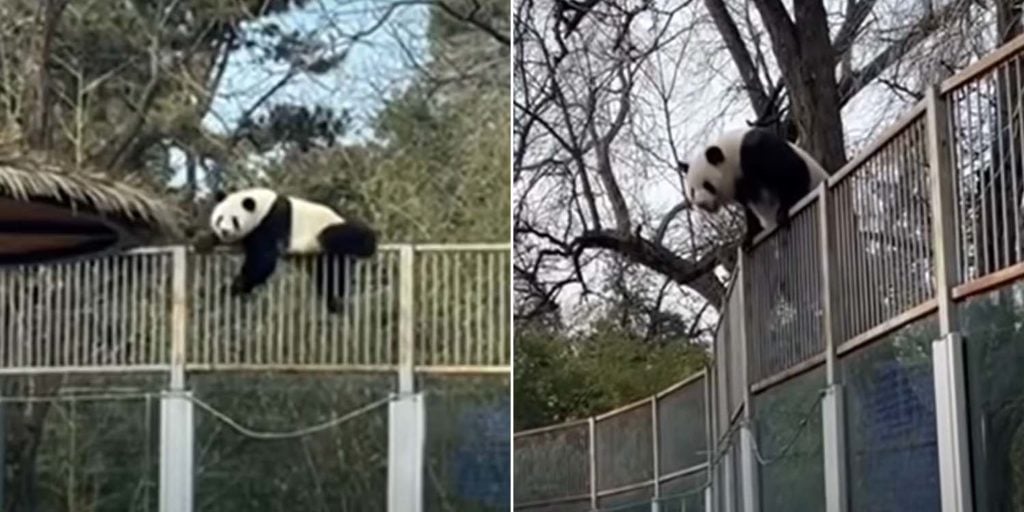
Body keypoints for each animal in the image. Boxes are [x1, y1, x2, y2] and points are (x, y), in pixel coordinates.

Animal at [207, 187, 377, 312]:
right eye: (220, 218)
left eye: (234, 220)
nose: (224, 231)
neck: (265, 205)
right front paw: (207, 239)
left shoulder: (272, 222)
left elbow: (263, 261)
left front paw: (234, 287)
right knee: (329, 277)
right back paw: (335, 302)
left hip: (330, 230)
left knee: (348, 239)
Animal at [681, 127, 829, 249]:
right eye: (692, 191)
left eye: (707, 185)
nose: (702, 203)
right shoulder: (741, 186)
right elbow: (750, 210)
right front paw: (748, 237)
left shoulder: (756, 151)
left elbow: (791, 173)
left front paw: (783, 211)